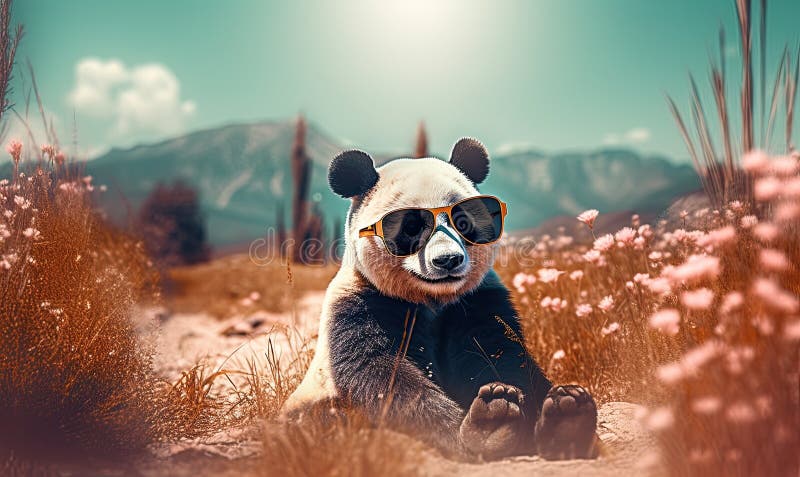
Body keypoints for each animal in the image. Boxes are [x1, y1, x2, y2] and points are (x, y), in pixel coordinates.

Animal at [282, 137, 598, 460]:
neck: (432, 299)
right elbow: (381, 372)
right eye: (410, 227)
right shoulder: (361, 300)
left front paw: (502, 416)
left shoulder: (478, 300)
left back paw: (568, 413)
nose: (448, 260)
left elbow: (499, 354)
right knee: (325, 418)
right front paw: (482, 427)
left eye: (463, 222)